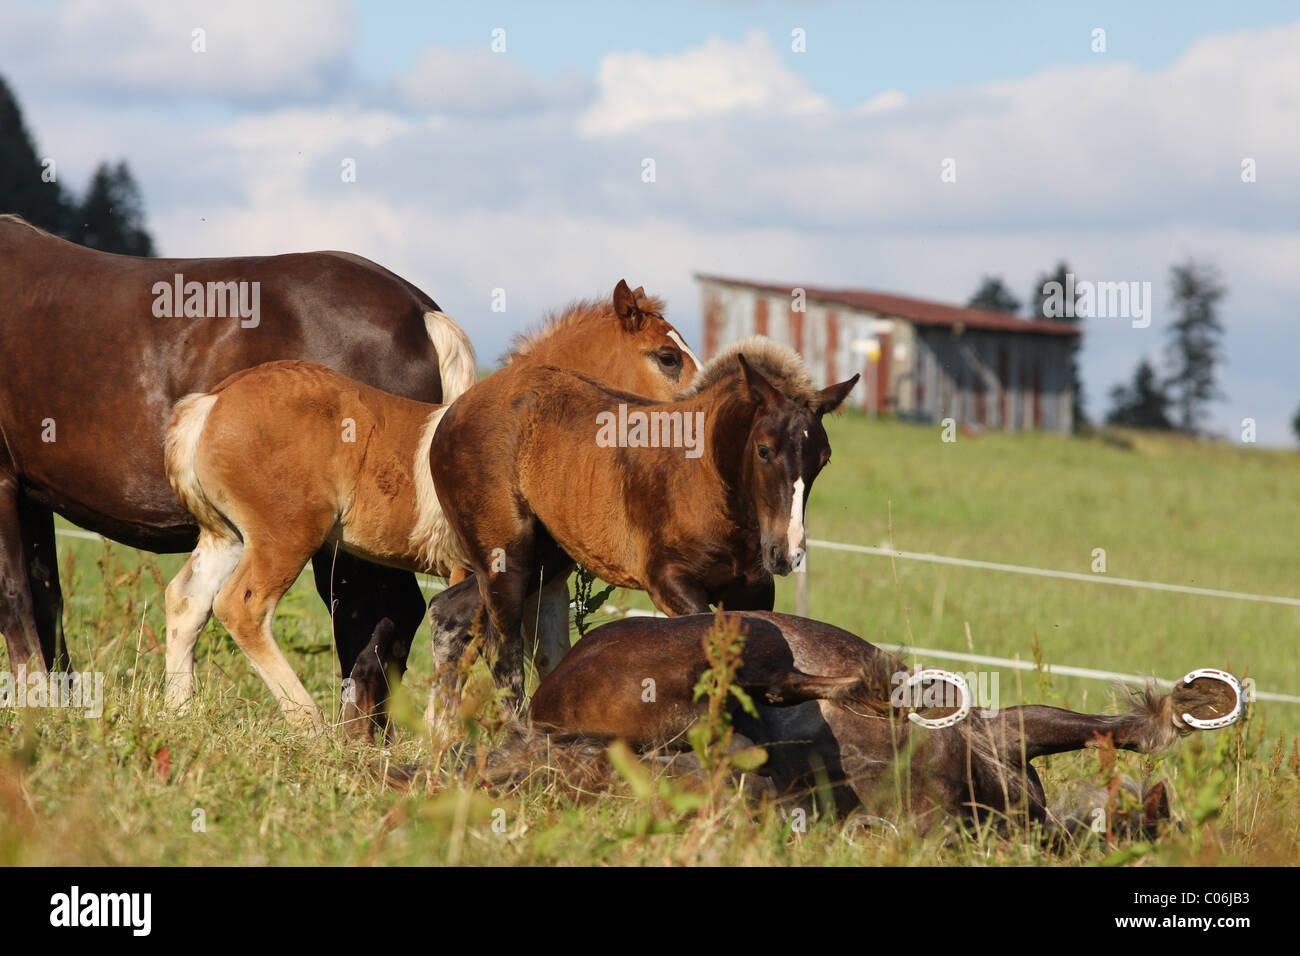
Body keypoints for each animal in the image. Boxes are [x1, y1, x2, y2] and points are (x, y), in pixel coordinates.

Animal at [0, 213, 474, 737]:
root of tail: (422, 312)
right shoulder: (31, 495)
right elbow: (47, 596)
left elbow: (16, 597)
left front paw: (36, 707)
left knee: (381, 617)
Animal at [161, 281, 699, 732]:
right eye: (668, 357)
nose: (694, 417)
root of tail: (211, 403)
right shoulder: (473, 570)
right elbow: (462, 650)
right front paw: (437, 736)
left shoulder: (546, 586)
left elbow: (550, 656)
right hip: (285, 536)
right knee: (241, 607)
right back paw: (308, 723)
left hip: (227, 536)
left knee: (187, 600)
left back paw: (181, 714)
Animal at [427, 337, 859, 709]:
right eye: (764, 450)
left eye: (823, 459)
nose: (786, 553)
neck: (703, 473)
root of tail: (452, 413)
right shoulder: (668, 581)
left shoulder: (752, 593)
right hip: (505, 556)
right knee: (503, 652)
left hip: (543, 555)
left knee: (449, 612)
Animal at [517, 609, 1245, 835]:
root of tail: (545, 708)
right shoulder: (988, 746)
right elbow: (1122, 728)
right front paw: (1201, 701)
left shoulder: (1006, 743)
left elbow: (1111, 731)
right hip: (743, 635)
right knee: (771, 688)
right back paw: (886, 685)